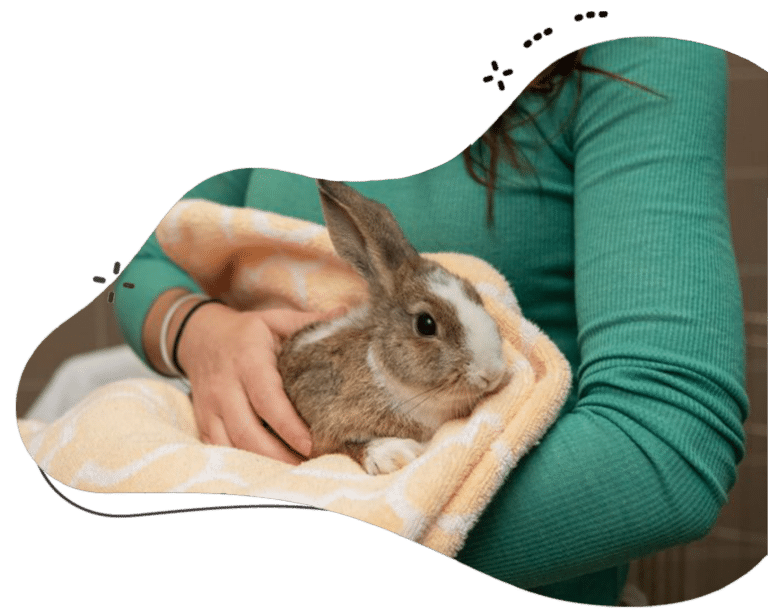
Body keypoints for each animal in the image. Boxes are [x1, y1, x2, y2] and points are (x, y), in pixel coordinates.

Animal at [276, 179, 511, 475]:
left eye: (474, 294)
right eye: (426, 324)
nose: (492, 373)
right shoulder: (321, 428)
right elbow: (344, 446)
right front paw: (395, 455)